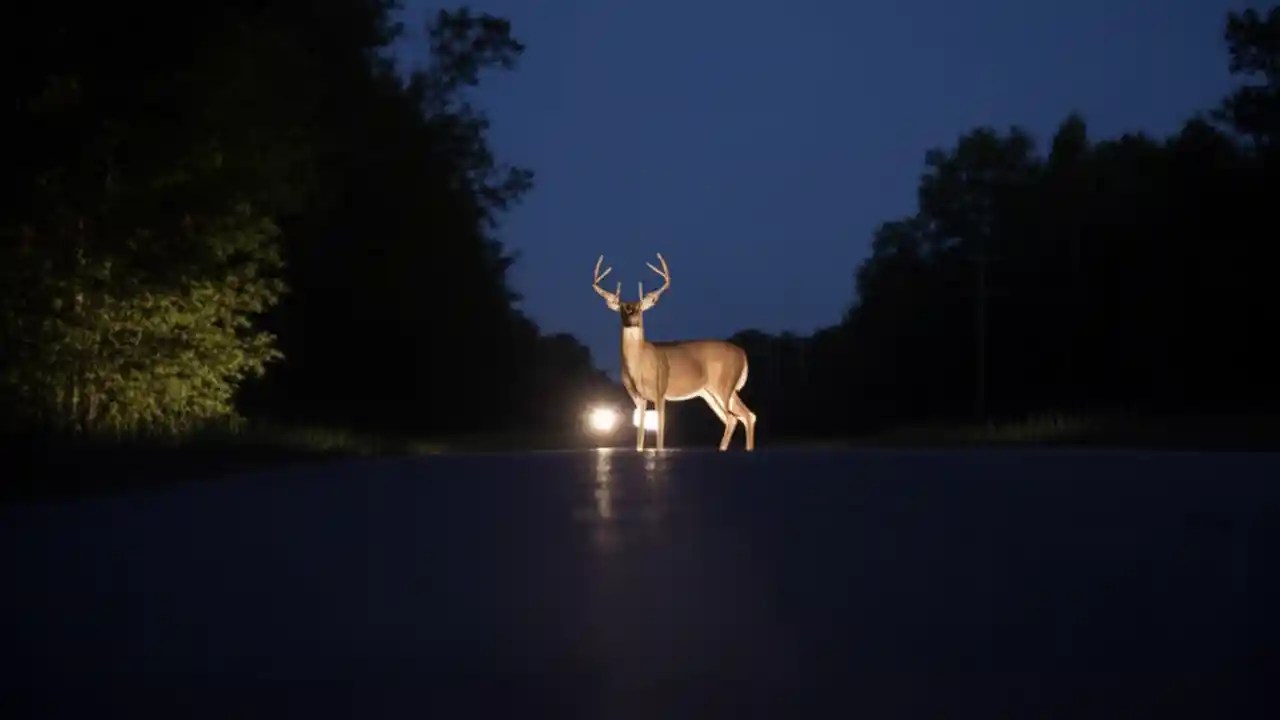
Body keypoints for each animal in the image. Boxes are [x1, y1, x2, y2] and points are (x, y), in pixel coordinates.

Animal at [592, 253, 756, 452]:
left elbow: (660, 433)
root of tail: (743, 354)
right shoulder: (637, 396)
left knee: (733, 418)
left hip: (723, 385)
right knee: (747, 415)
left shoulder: (660, 391)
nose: (632, 319)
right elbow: (640, 435)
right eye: (623, 308)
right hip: (714, 392)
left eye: (640, 308)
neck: (638, 365)